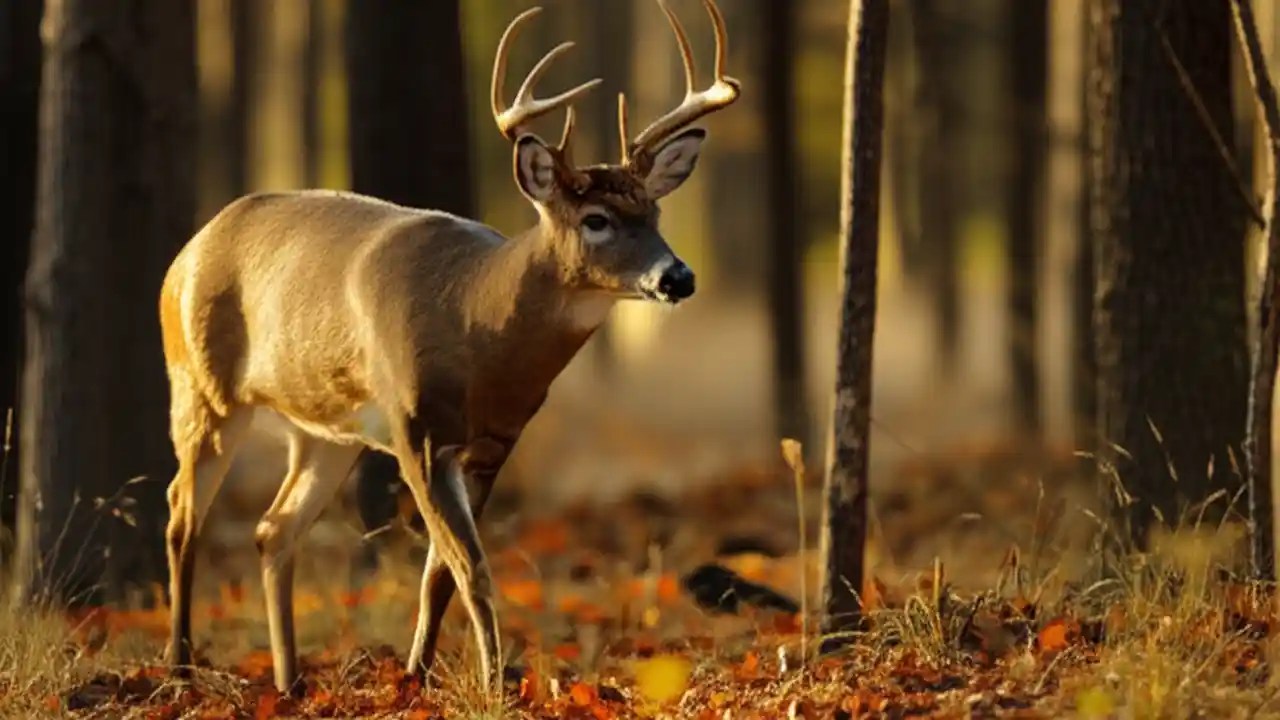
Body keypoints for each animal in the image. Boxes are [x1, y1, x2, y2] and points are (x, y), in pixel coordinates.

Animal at [158, 0, 740, 695]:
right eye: (595, 219)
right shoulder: (417, 431)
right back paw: (181, 669)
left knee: (273, 529)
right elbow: (472, 567)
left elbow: (439, 574)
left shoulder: (494, 442)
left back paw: (289, 682)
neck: (477, 325)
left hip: (325, 433)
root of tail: (185, 255)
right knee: (181, 515)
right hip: (201, 390)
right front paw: (491, 685)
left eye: (653, 214)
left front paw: (418, 675)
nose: (677, 277)